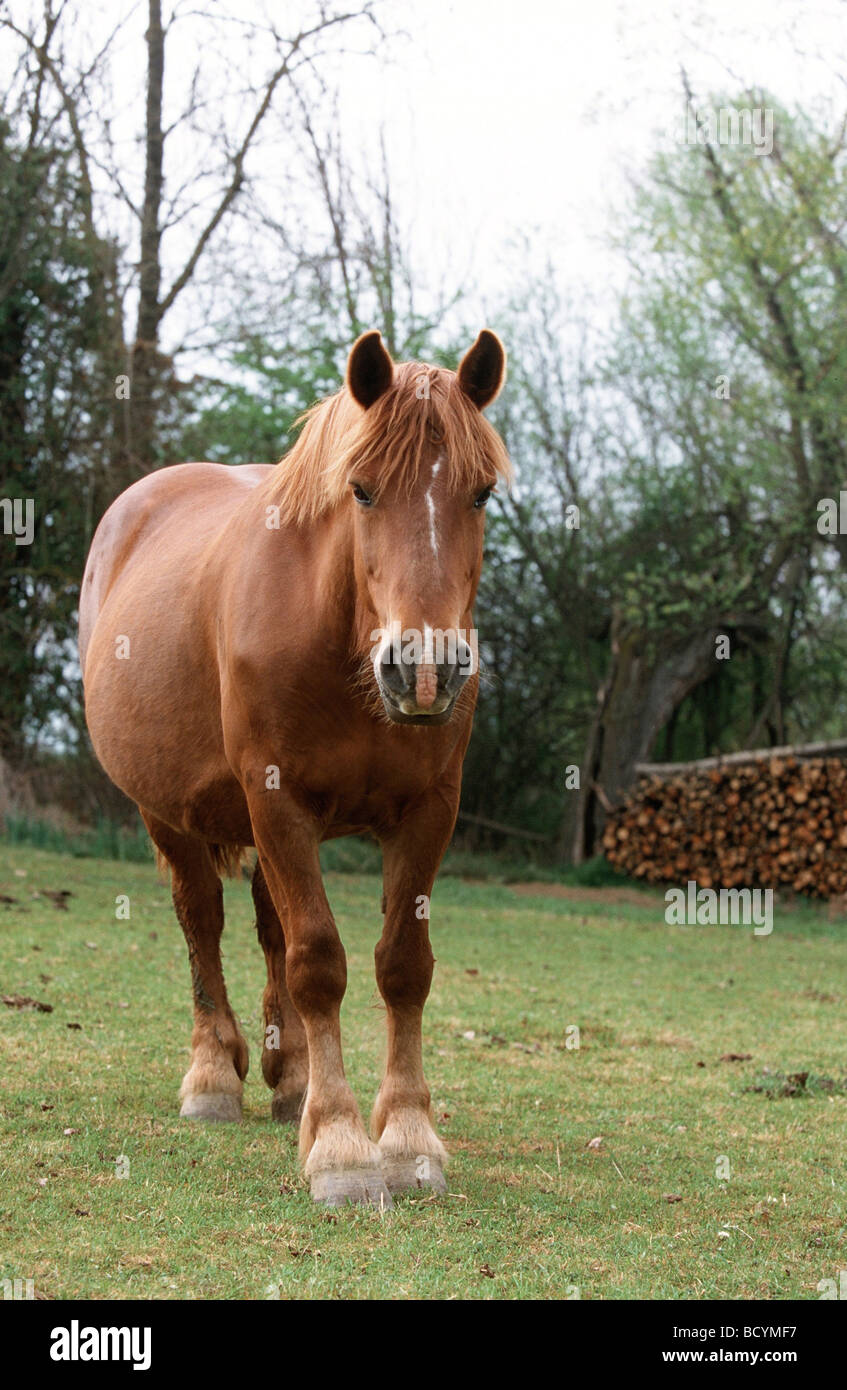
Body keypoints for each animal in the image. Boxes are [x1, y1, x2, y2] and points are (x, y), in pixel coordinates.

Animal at [78, 329, 510, 1206]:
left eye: (482, 494)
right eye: (361, 491)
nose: (424, 671)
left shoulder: (429, 811)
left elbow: (400, 966)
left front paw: (407, 1137)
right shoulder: (276, 803)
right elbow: (318, 963)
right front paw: (342, 1148)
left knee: (267, 928)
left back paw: (292, 1079)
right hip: (167, 815)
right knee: (203, 923)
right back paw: (215, 1075)